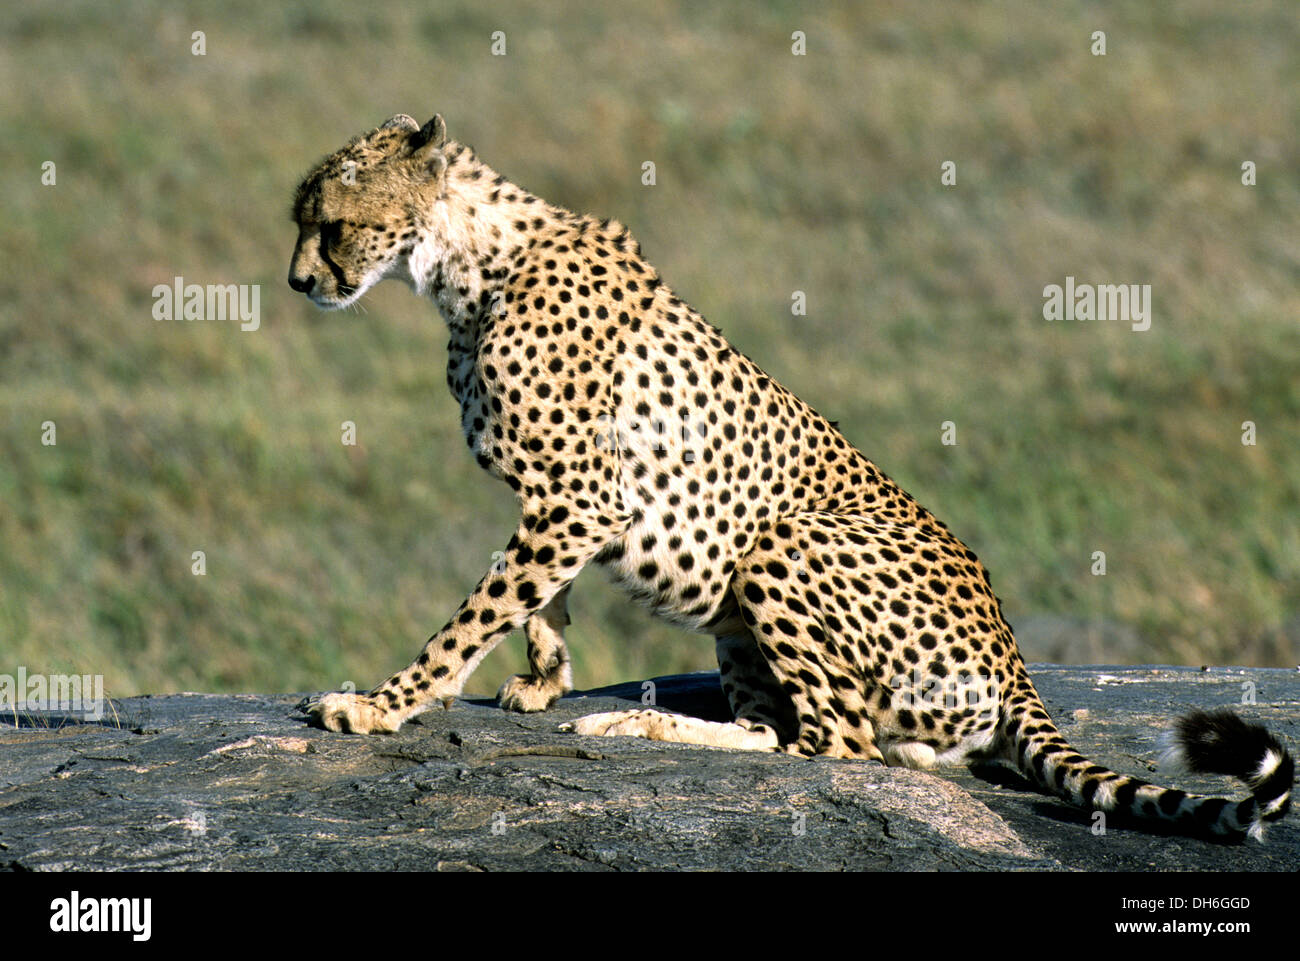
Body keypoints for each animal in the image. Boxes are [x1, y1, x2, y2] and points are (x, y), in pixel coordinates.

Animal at [288, 113, 1293, 841]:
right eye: (302, 223)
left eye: (331, 225)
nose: (299, 283)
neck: (469, 264)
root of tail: (1014, 657)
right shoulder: (555, 499)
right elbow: (533, 598)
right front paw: (543, 677)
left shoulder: (579, 499)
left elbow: (473, 616)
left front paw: (378, 705)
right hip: (742, 621)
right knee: (787, 734)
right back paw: (635, 725)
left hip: (781, 539)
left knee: (841, 744)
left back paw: (638, 726)